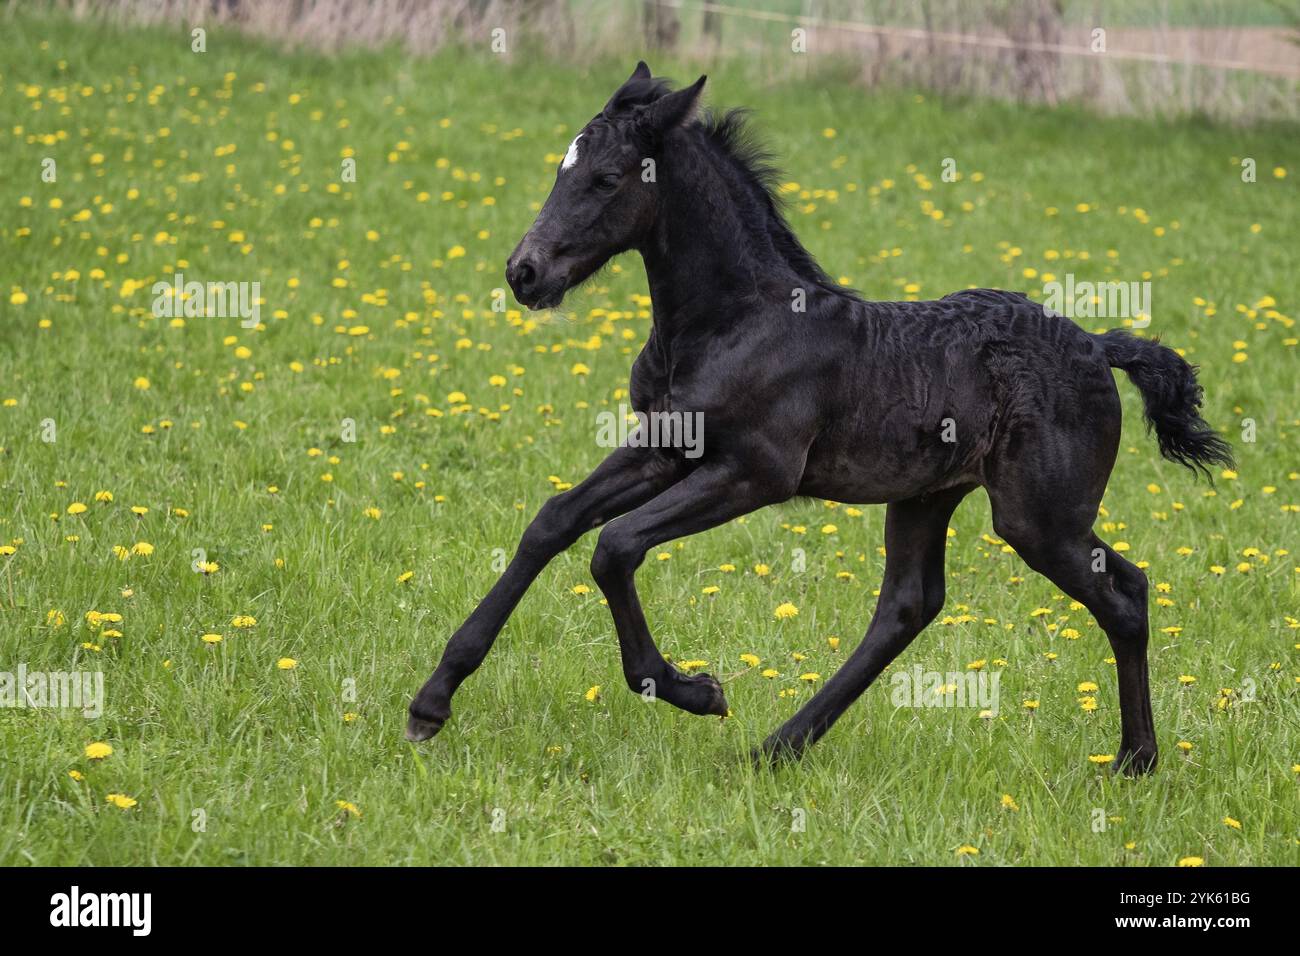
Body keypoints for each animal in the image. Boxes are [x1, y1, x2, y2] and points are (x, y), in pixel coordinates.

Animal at [407, 62, 1233, 773]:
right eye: (561, 168)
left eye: (607, 178)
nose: (525, 273)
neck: (734, 320)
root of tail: (1099, 344)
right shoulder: (665, 449)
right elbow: (553, 521)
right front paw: (431, 701)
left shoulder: (754, 472)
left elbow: (615, 546)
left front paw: (691, 690)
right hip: (928, 497)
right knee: (910, 606)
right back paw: (780, 746)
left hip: (1039, 517)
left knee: (1122, 595)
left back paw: (1135, 760)